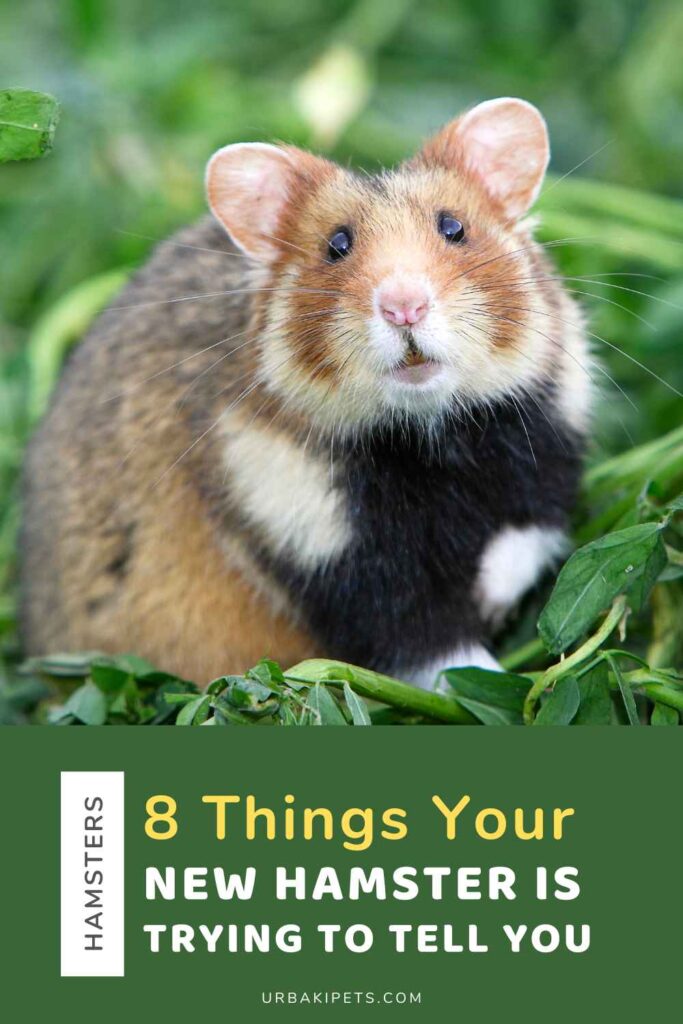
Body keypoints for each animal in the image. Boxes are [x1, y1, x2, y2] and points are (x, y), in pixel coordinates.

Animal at [20, 98, 590, 687]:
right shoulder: (324, 544)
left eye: (453, 227)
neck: (427, 433)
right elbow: (435, 648)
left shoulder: (548, 451)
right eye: (336, 246)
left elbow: (526, 539)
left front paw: (492, 601)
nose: (404, 307)